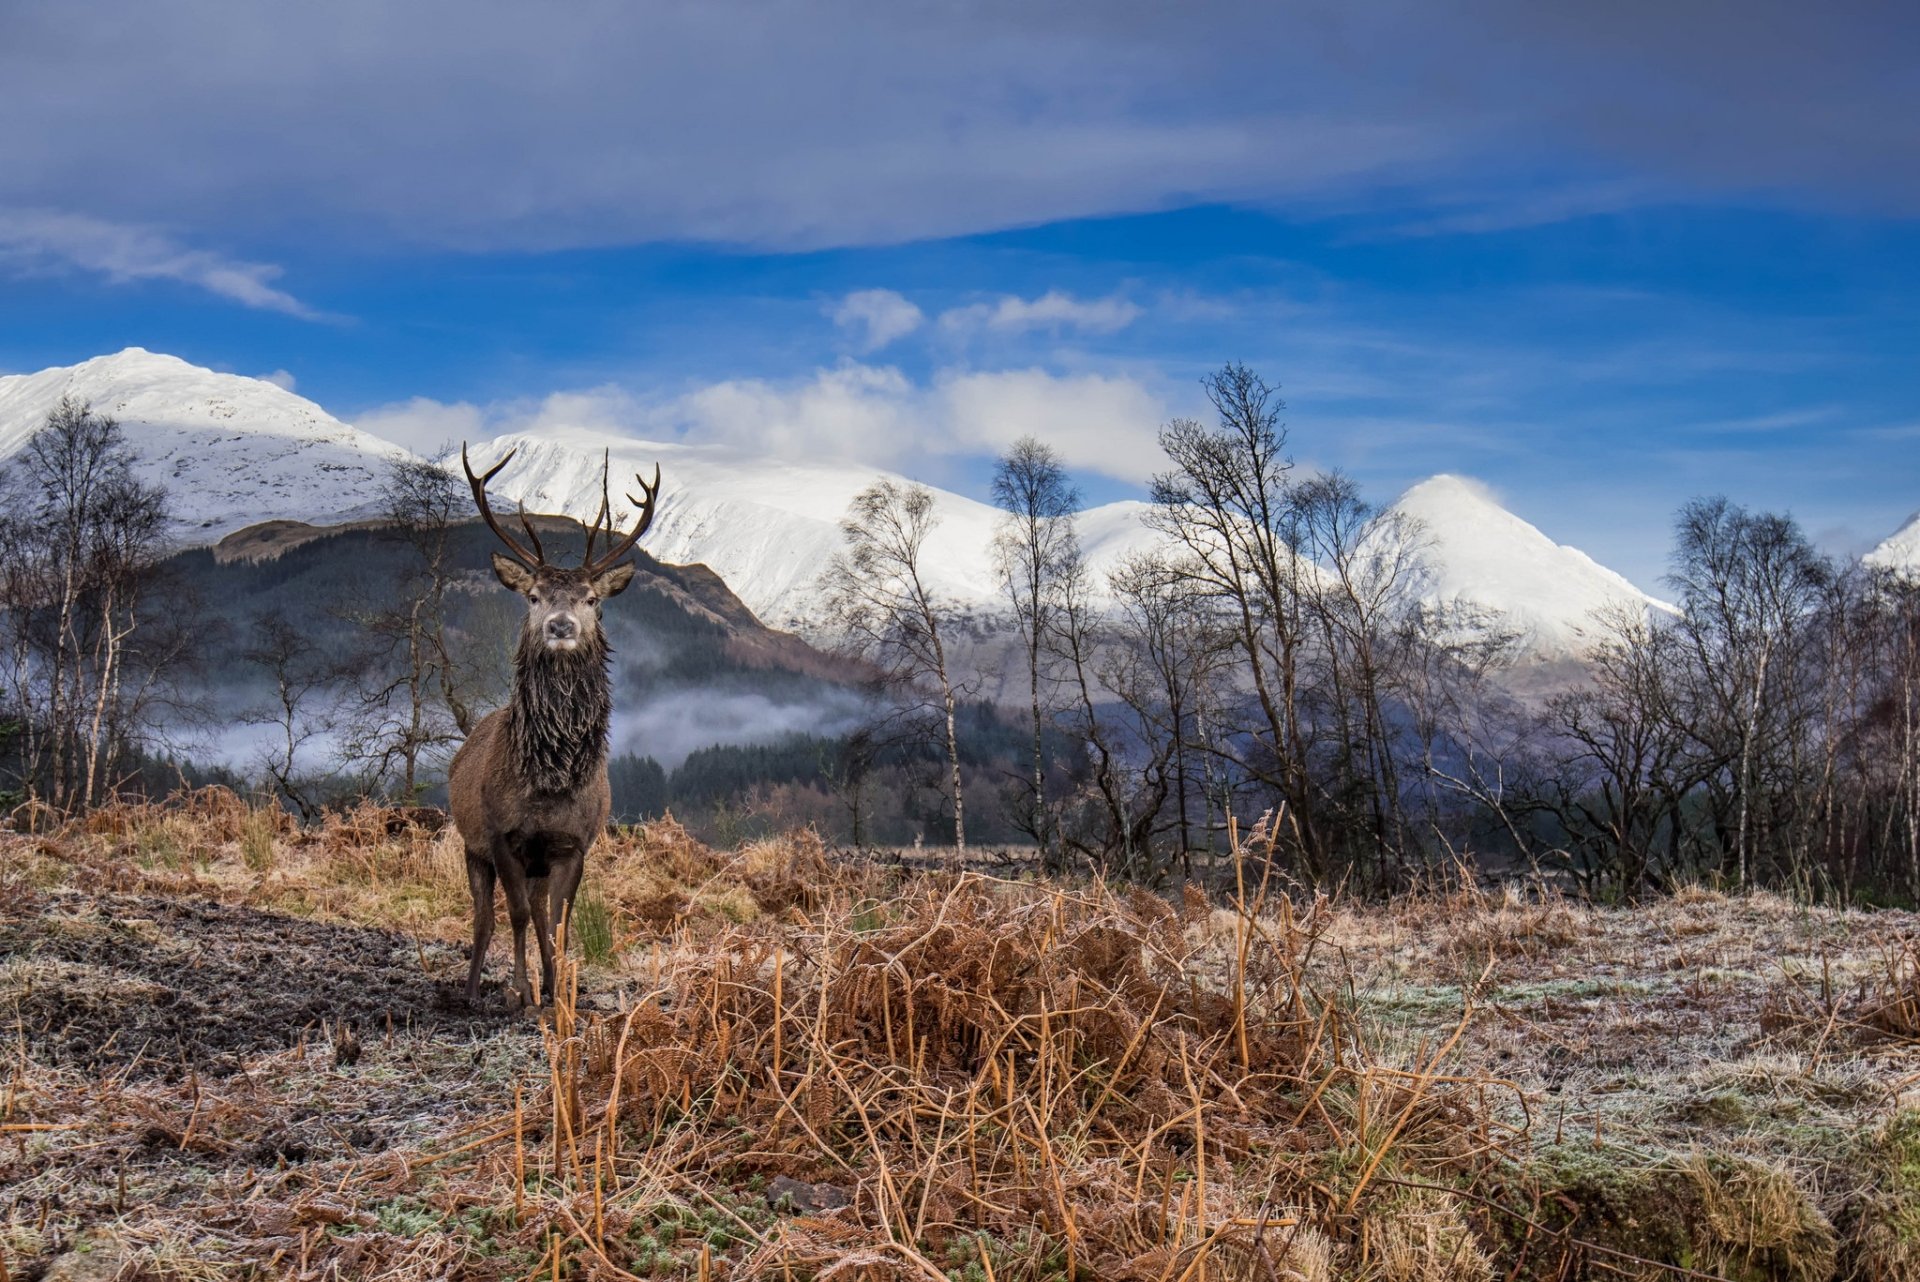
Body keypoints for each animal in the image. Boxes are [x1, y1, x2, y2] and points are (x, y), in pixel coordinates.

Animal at [449, 443, 661, 1010]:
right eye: (533, 596)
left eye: (592, 599)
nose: (560, 625)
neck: (549, 782)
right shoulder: (501, 836)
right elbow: (518, 916)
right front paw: (522, 990)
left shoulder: (573, 843)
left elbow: (559, 924)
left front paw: (558, 991)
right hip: (471, 845)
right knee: (485, 918)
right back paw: (473, 989)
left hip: (539, 863)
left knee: (541, 912)